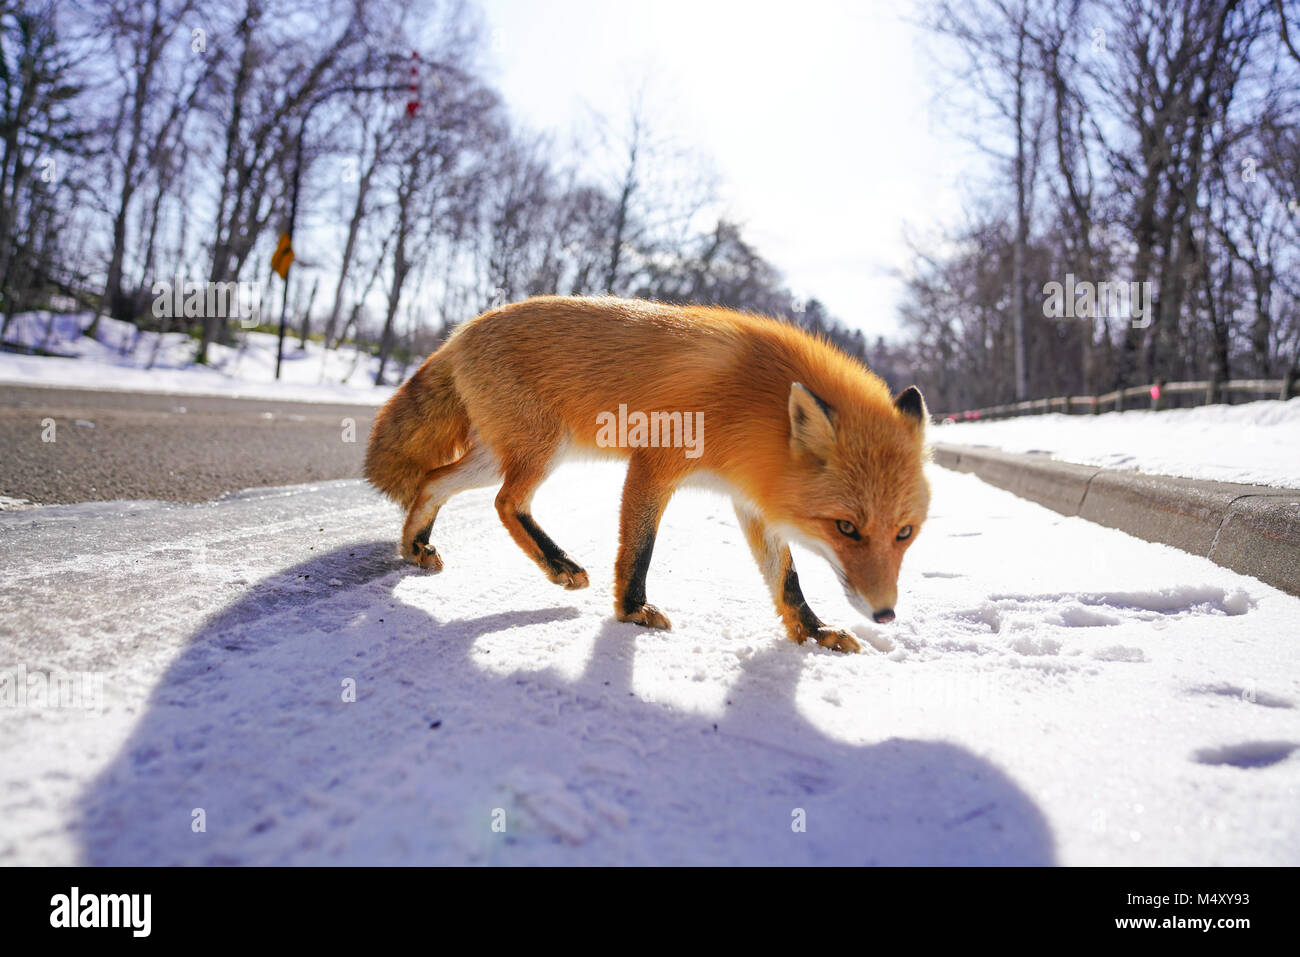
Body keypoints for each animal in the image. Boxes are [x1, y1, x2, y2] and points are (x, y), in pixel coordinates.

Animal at [364, 296, 930, 653]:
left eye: (905, 533)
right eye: (846, 528)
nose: (885, 614)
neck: (754, 402)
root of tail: (461, 330)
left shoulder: (752, 500)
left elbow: (786, 580)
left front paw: (813, 633)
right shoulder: (655, 462)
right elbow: (639, 549)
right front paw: (633, 611)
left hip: (496, 457)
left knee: (434, 481)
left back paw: (415, 548)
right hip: (543, 451)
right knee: (506, 502)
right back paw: (558, 564)